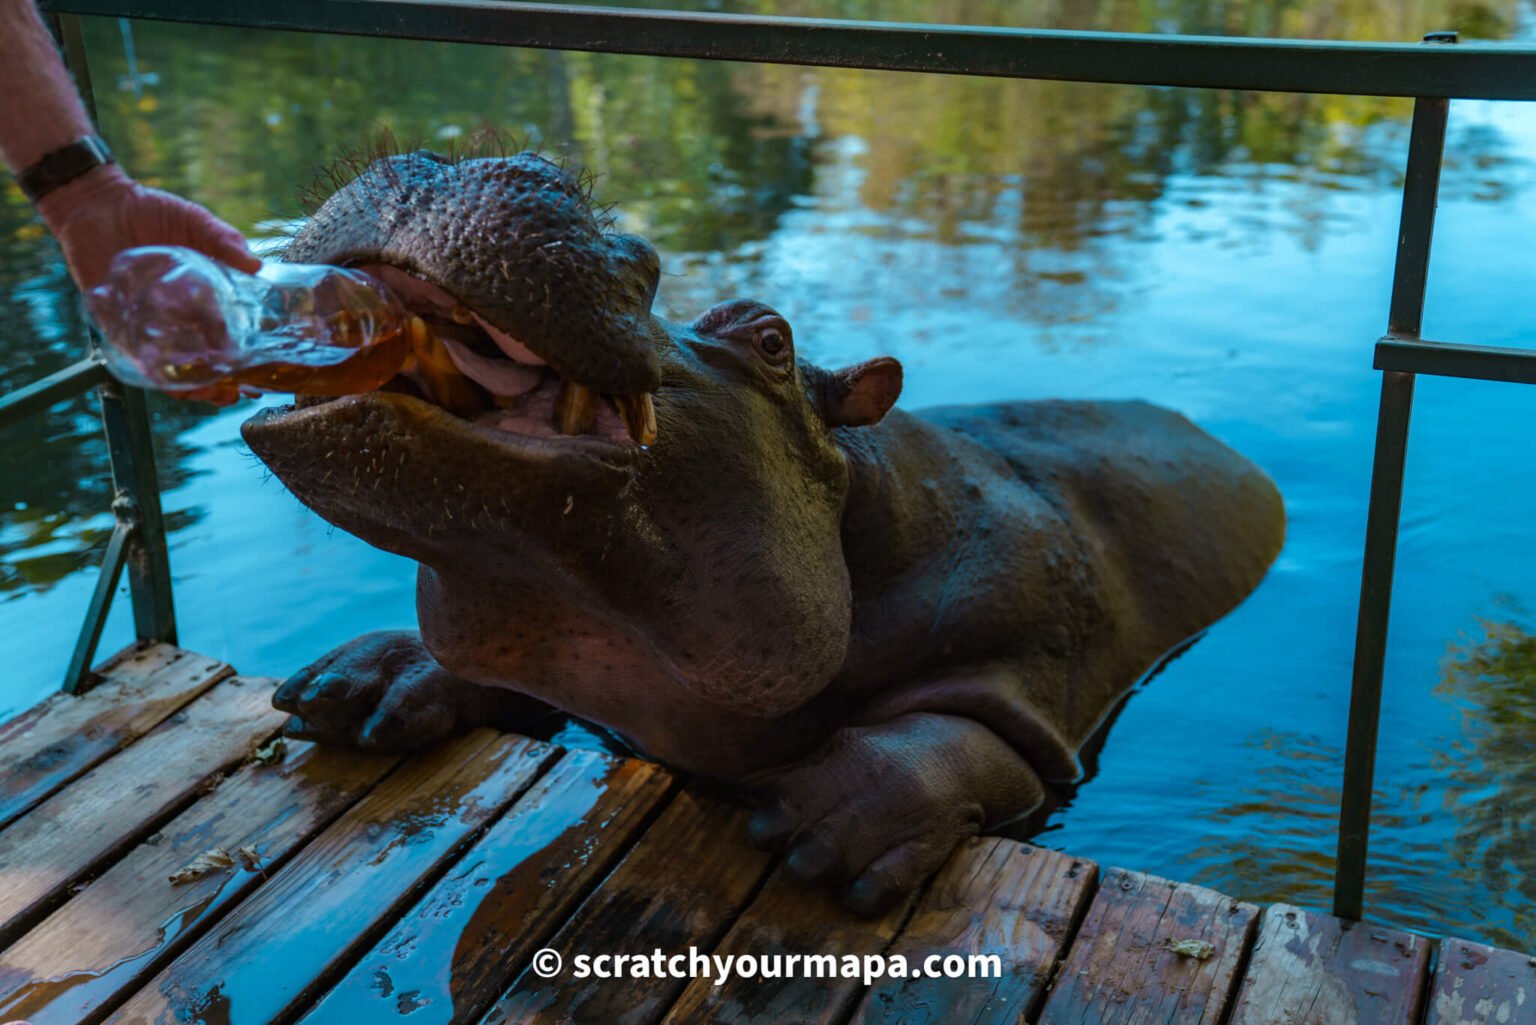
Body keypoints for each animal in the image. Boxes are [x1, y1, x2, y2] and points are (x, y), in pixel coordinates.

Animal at [242, 149, 1285, 914]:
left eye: (771, 339)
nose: (467, 160)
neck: (865, 513)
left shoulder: (1031, 684)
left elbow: (964, 738)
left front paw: (817, 822)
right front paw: (358, 681)